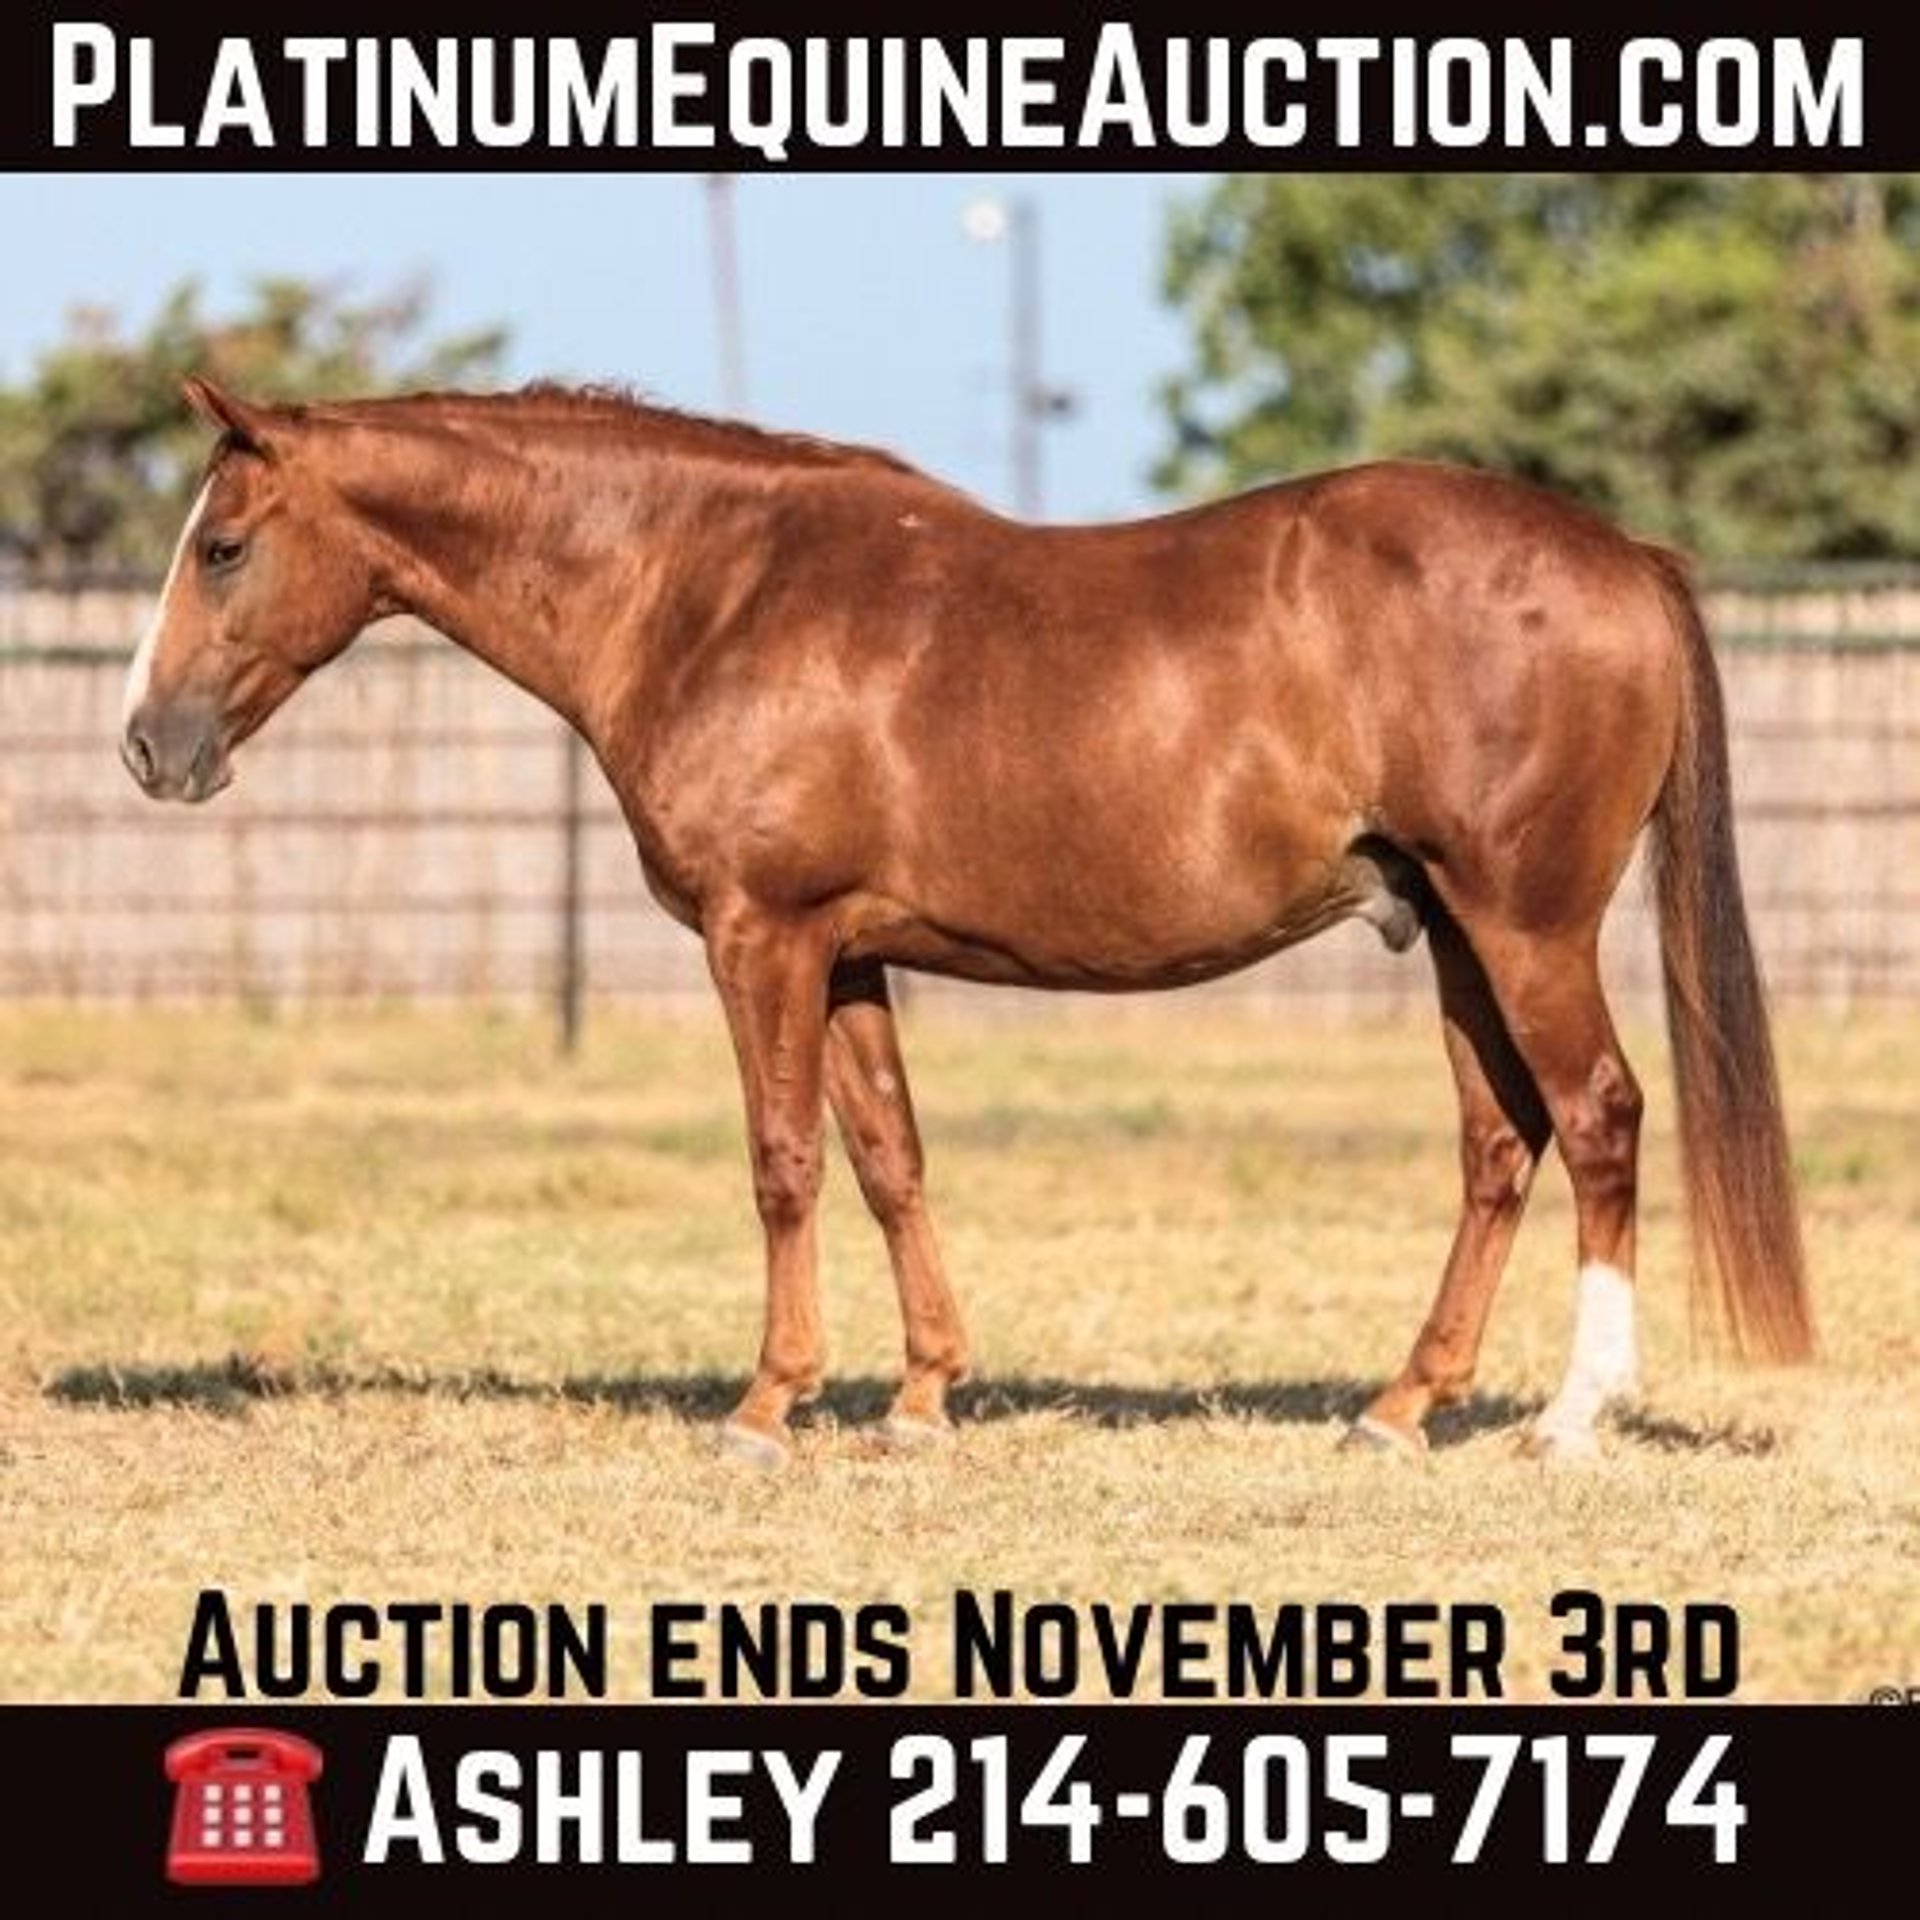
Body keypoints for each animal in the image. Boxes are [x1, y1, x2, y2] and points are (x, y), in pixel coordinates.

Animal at [120, 377, 1813, 1467]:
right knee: (1498, 1145)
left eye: (222, 545)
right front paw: (923, 1396)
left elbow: (786, 1165)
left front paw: (768, 1407)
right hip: (1456, 934)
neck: (707, 591)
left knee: (1597, 1118)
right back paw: (1402, 1410)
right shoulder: (852, 952)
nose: (150, 748)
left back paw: (1572, 1419)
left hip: (1525, 927)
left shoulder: (764, 937)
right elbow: (889, 1159)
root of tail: (1624, 558)